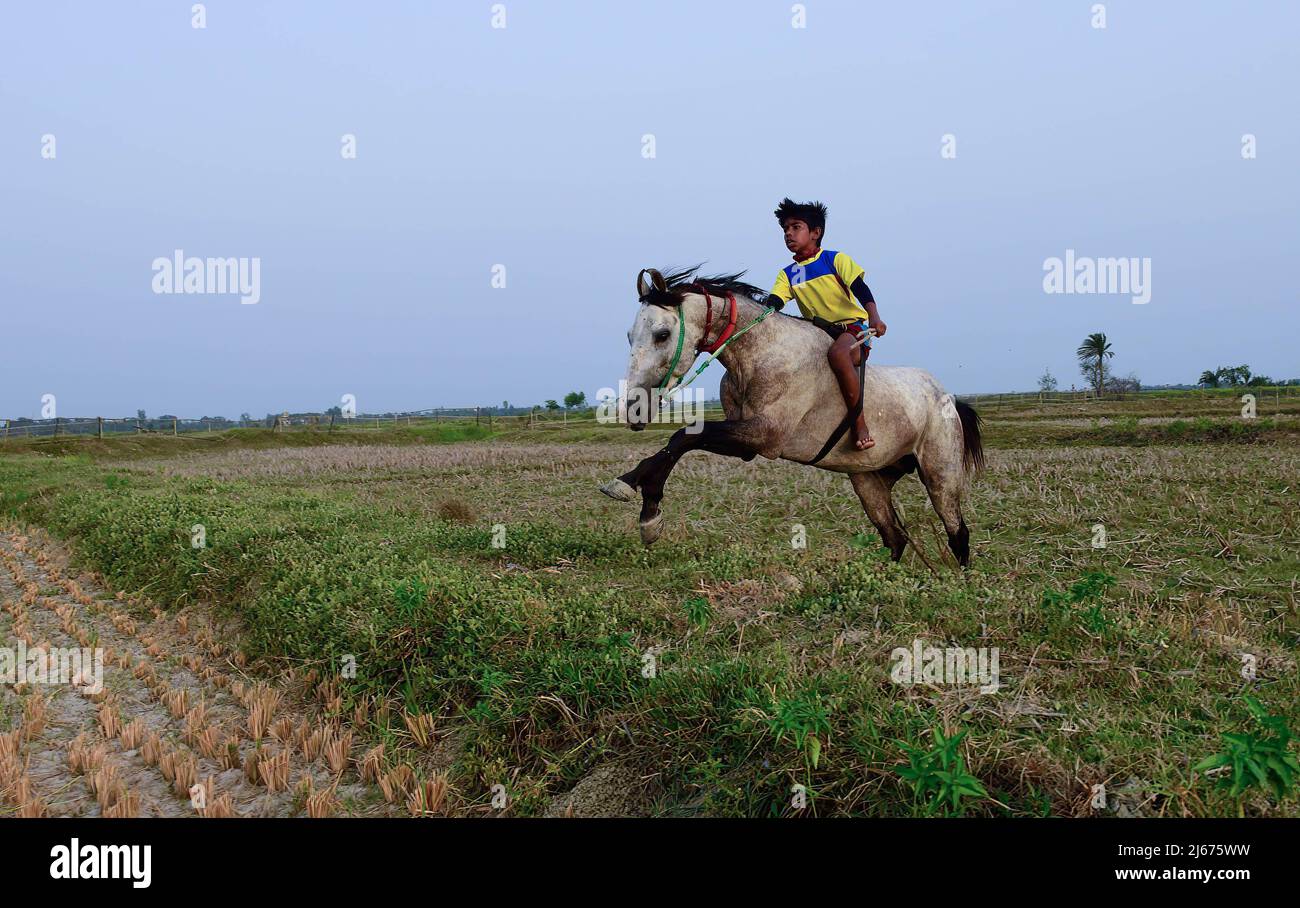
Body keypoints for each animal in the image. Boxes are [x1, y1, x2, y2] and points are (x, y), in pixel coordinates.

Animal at [598, 266, 984, 566]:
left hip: (940, 476)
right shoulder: (747, 443)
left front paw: (646, 506)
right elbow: (686, 438)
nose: (631, 407)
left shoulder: (765, 435)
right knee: (895, 537)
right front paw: (639, 497)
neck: (761, 353)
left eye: (662, 334)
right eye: (630, 335)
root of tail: (947, 397)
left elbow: (685, 436)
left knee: (957, 533)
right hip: (870, 481)